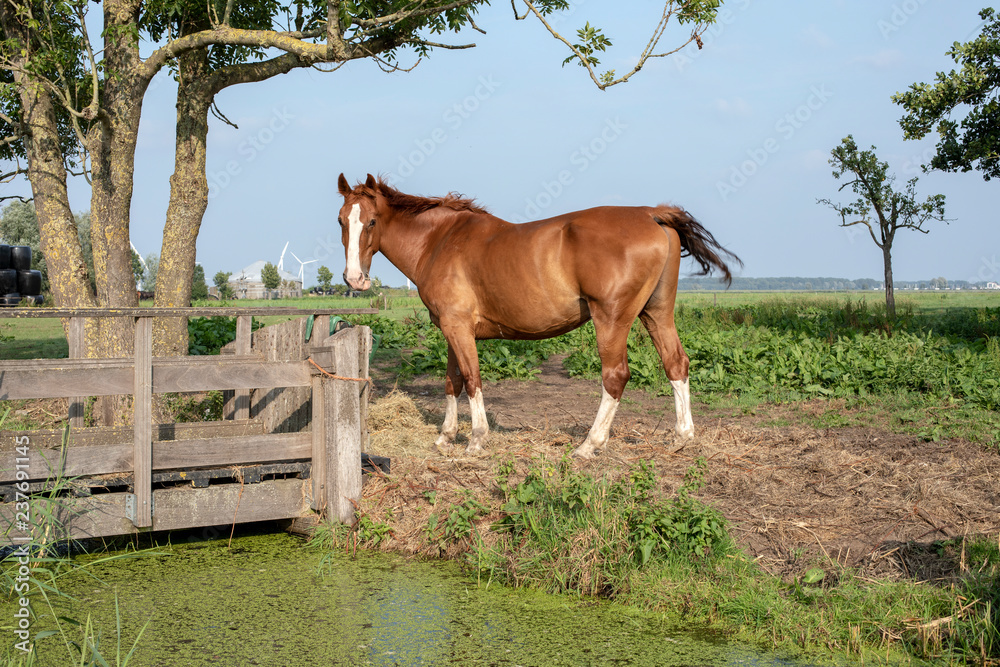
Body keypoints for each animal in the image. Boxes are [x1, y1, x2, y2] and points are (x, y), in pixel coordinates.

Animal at [337, 173, 741, 458]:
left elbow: (472, 379)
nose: (354, 279)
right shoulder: (452, 330)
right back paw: (682, 438)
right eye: (342, 220)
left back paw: (589, 444)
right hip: (656, 314)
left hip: (611, 320)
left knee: (615, 376)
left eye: (371, 221)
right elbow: (452, 381)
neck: (440, 241)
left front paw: (476, 439)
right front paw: (446, 436)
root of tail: (649, 213)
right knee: (676, 364)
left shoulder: (458, 328)